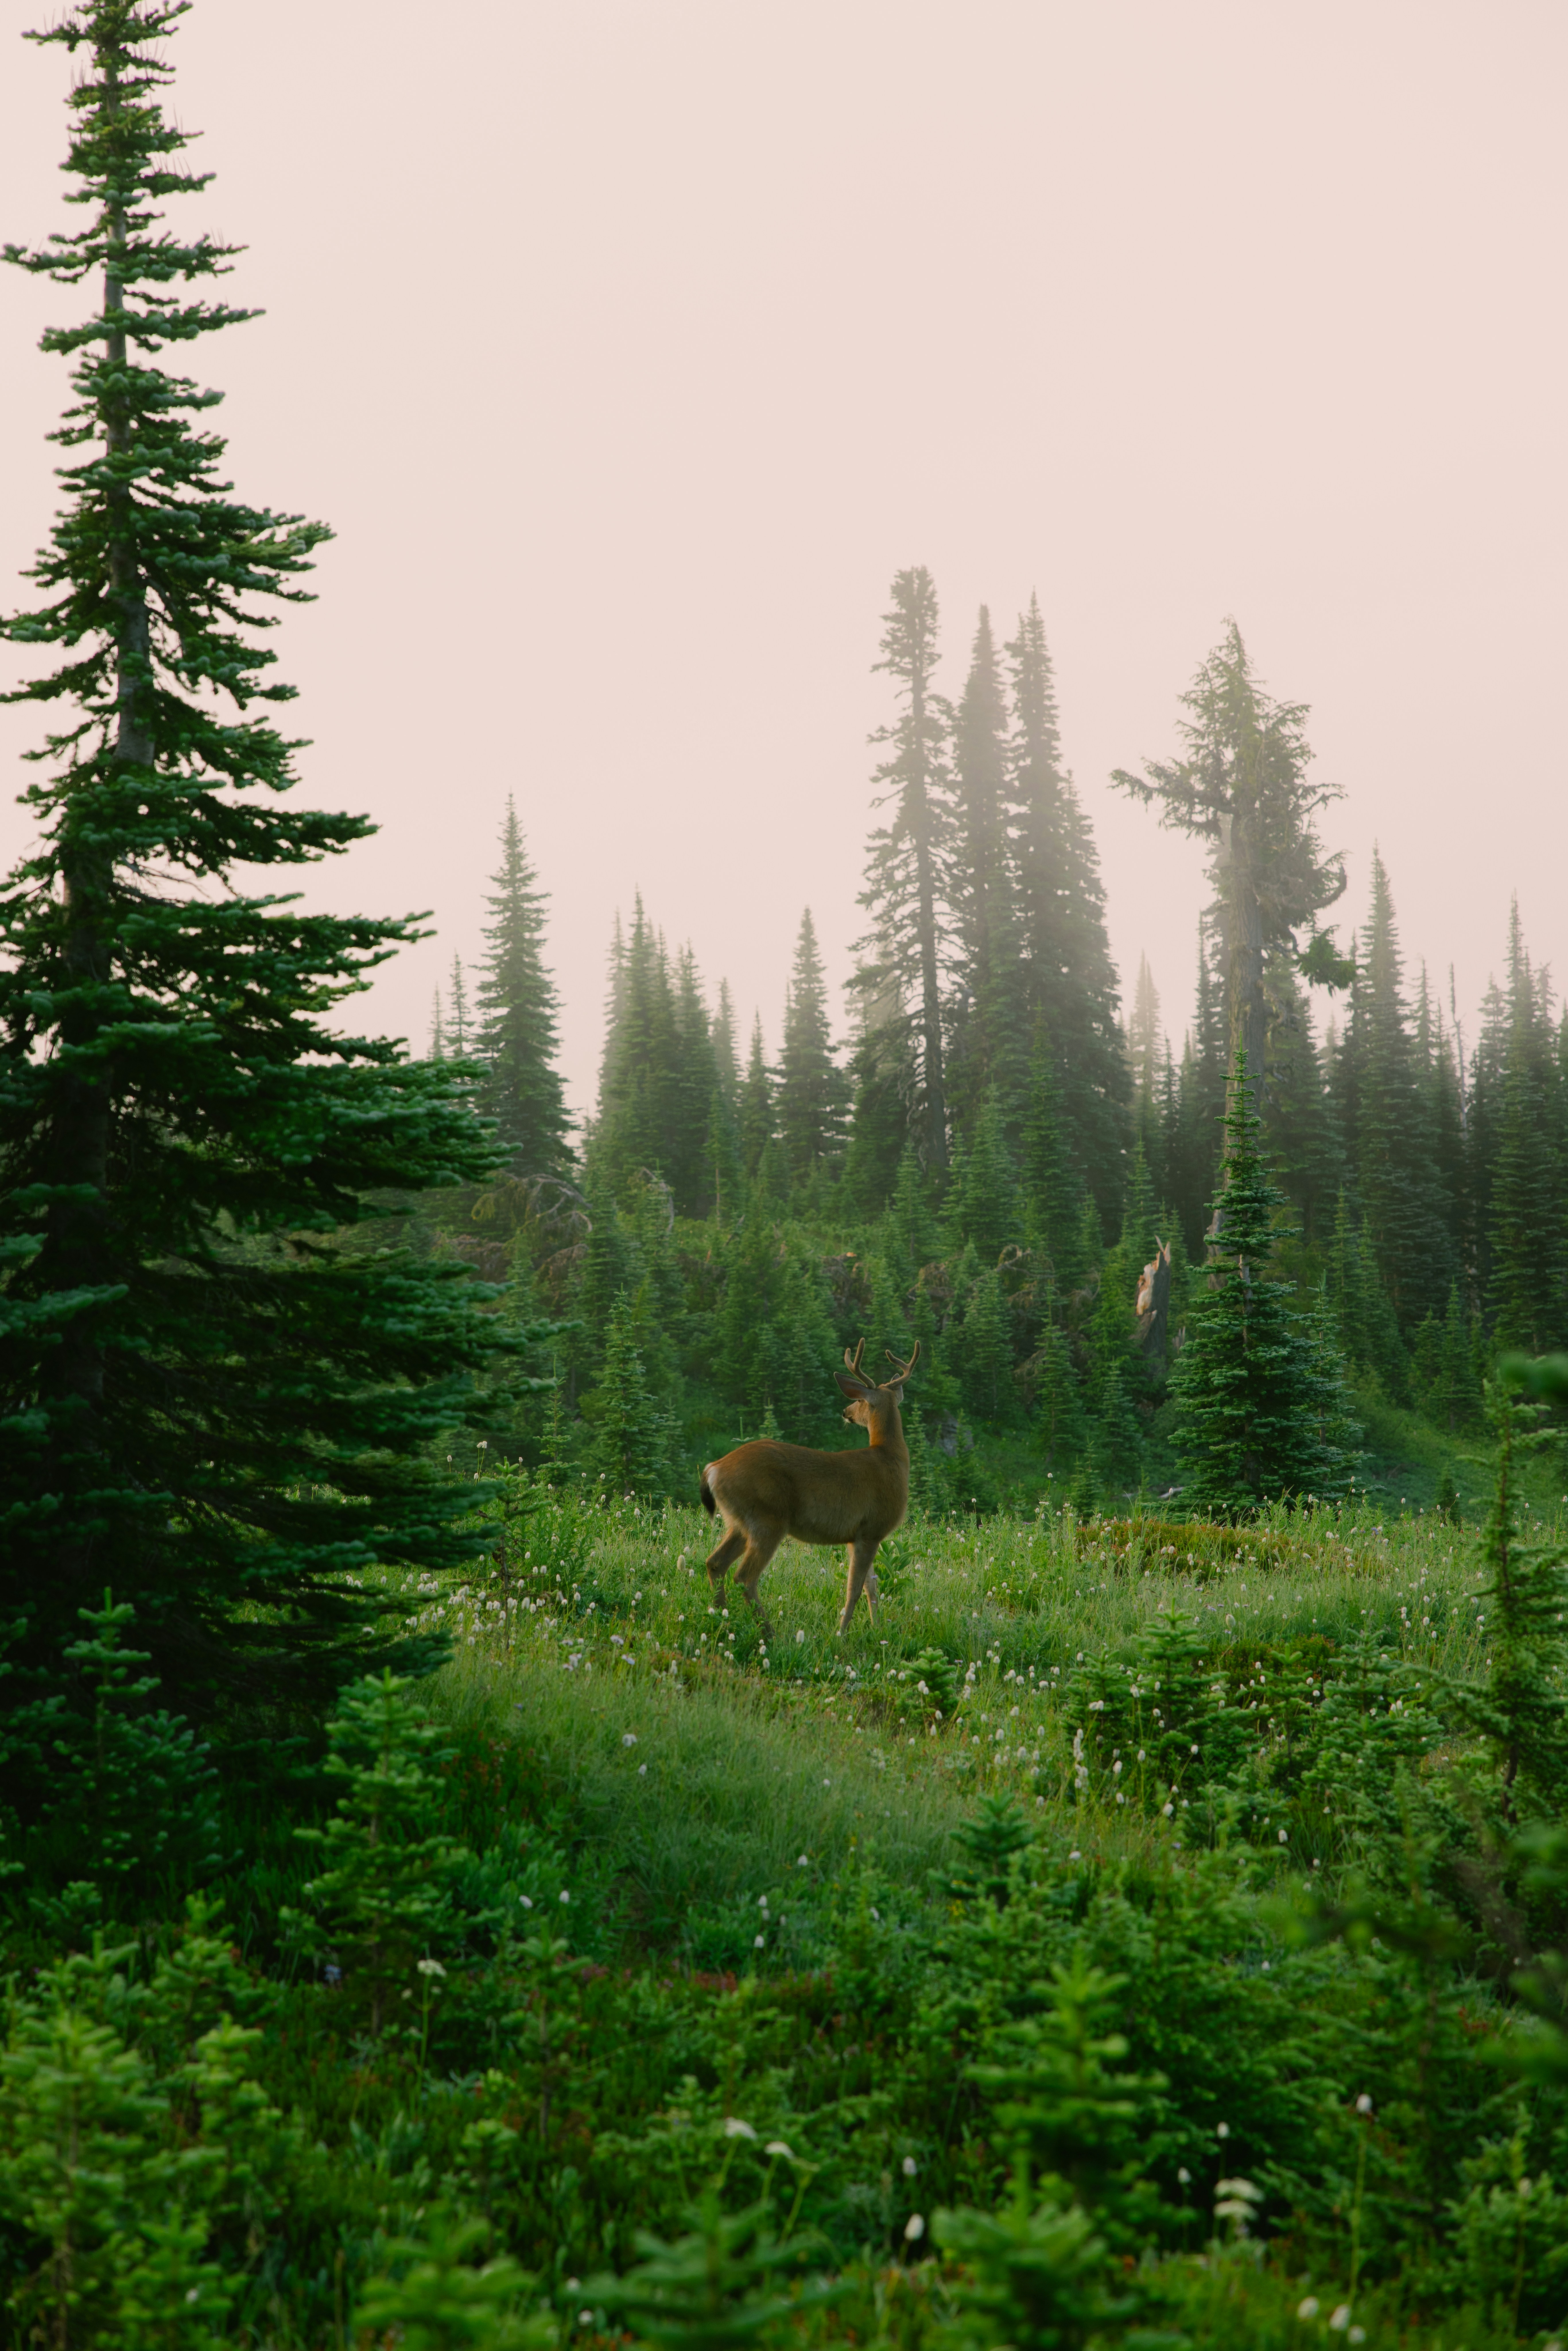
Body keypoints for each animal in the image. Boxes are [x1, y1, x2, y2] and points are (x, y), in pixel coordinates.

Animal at [698, 1340, 919, 1639]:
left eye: (858, 1401)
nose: (846, 1412)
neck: (890, 1459)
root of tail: (714, 1469)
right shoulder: (872, 1529)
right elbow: (855, 1590)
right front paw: (842, 1635)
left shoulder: (858, 1535)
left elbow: (871, 1588)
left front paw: (877, 1629)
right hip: (768, 1518)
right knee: (744, 1577)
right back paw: (770, 1633)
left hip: (739, 1521)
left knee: (716, 1563)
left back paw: (723, 1619)